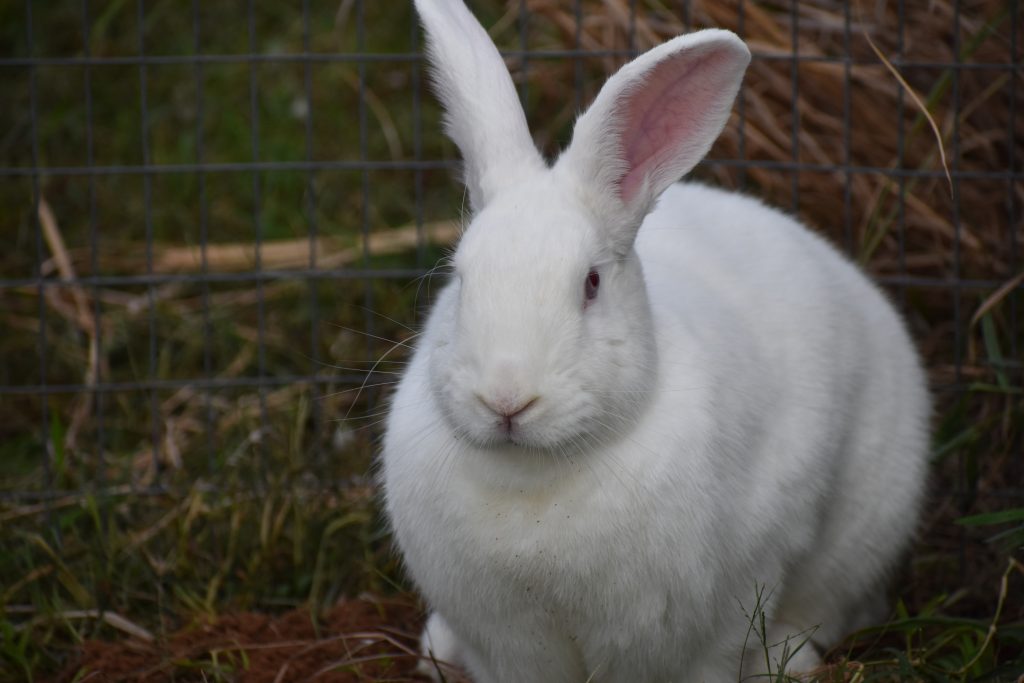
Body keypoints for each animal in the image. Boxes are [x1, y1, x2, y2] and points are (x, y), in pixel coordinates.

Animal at [380, 1, 930, 681]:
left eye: (590, 284)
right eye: (461, 278)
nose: (506, 400)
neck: (538, 478)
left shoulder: (720, 611)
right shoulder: (509, 645)